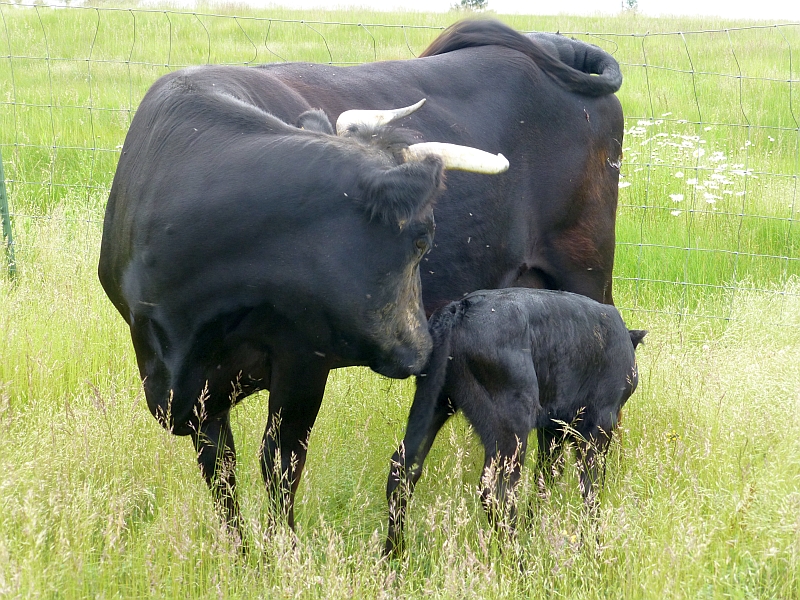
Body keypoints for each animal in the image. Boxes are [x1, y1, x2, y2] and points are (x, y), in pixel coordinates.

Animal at [98, 77, 507, 541]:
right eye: (422, 241)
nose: (423, 348)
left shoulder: (303, 360)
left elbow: (280, 463)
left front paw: (282, 547)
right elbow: (221, 470)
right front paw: (240, 550)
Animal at [385, 288, 646, 555]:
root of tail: (460, 307)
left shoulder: (552, 428)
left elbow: (547, 475)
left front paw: (533, 527)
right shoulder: (598, 424)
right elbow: (591, 486)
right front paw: (593, 548)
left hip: (433, 403)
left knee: (403, 469)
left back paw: (394, 554)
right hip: (512, 421)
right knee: (497, 488)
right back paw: (516, 557)